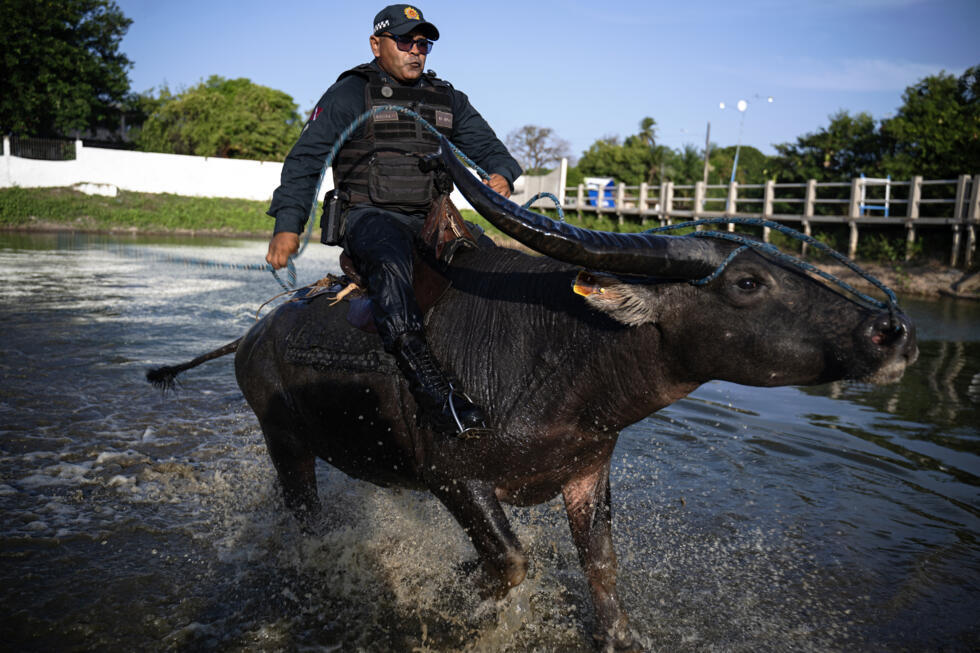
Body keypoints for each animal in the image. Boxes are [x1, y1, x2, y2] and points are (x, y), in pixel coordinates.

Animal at [151, 142, 917, 651]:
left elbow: (601, 569)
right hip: (283, 441)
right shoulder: (455, 476)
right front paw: (457, 588)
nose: (891, 331)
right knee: (306, 517)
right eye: (748, 283)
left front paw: (618, 633)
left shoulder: (586, 473)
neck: (561, 357)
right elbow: (513, 562)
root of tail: (254, 333)